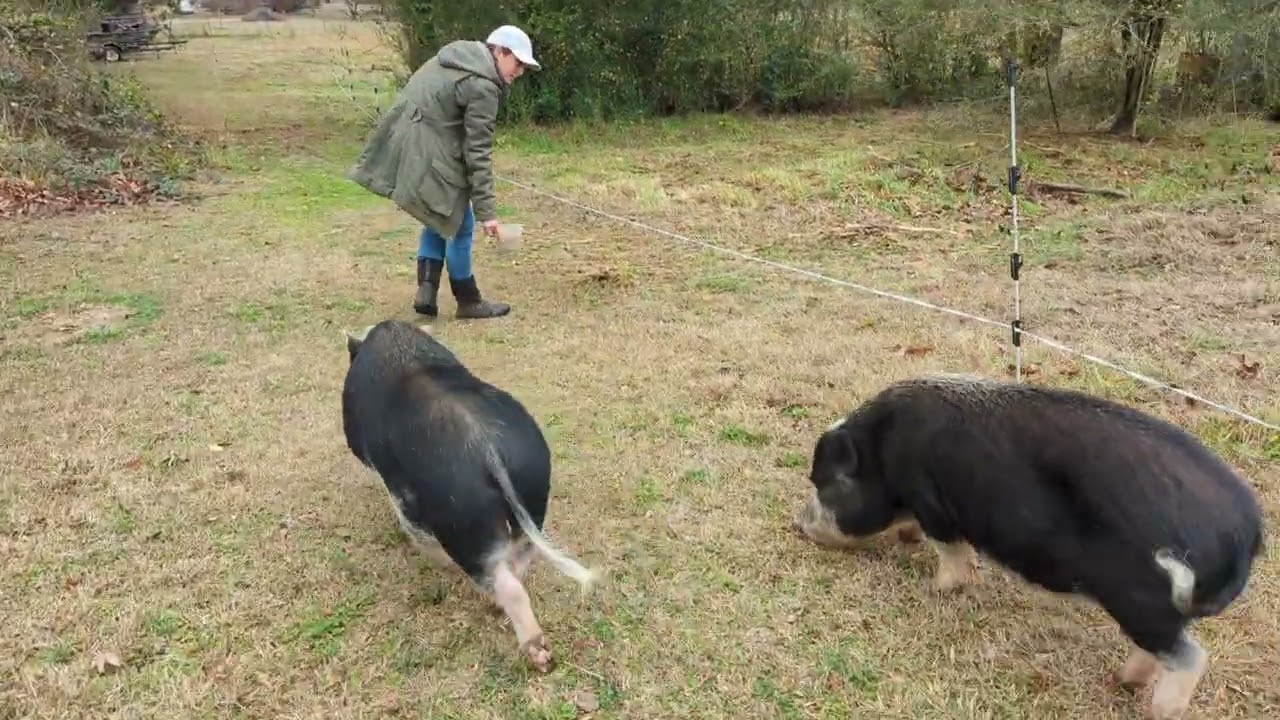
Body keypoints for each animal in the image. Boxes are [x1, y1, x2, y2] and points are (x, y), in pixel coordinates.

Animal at [342, 320, 598, 671]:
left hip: (463, 527)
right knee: (520, 562)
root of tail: (486, 448)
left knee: (505, 583)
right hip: (532, 500)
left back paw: (535, 650)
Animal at [793, 374, 1265, 720]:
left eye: (826, 485)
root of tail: (1244, 534)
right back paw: (1123, 682)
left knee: (1191, 656)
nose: (798, 525)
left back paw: (1156, 708)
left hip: (1141, 601)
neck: (884, 453)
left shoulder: (935, 507)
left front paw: (937, 589)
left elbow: (951, 553)